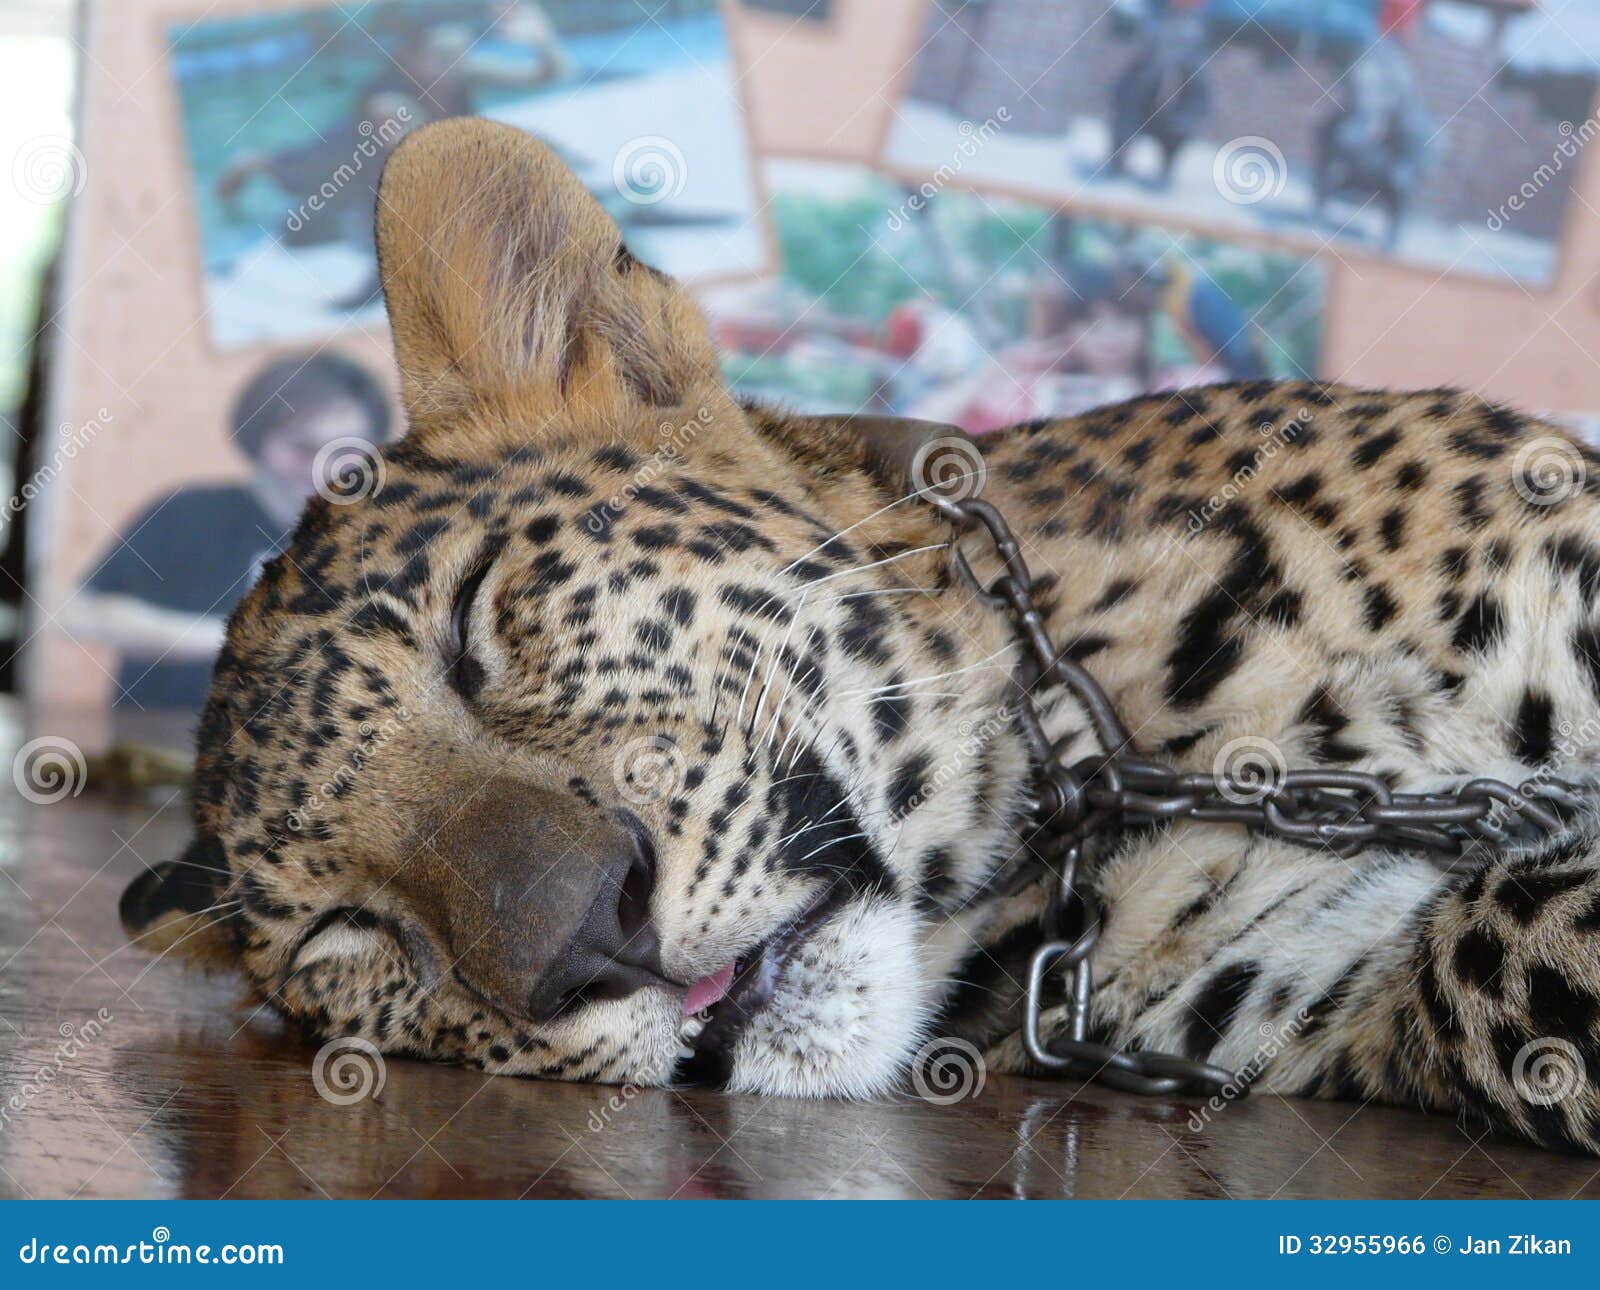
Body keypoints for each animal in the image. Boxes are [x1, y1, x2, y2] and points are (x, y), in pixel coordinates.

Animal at [122, 117, 1600, 1156]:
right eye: (347, 936)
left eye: (473, 623)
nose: (586, 938)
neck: (1123, 751)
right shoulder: (1349, 982)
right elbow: (1500, 940)